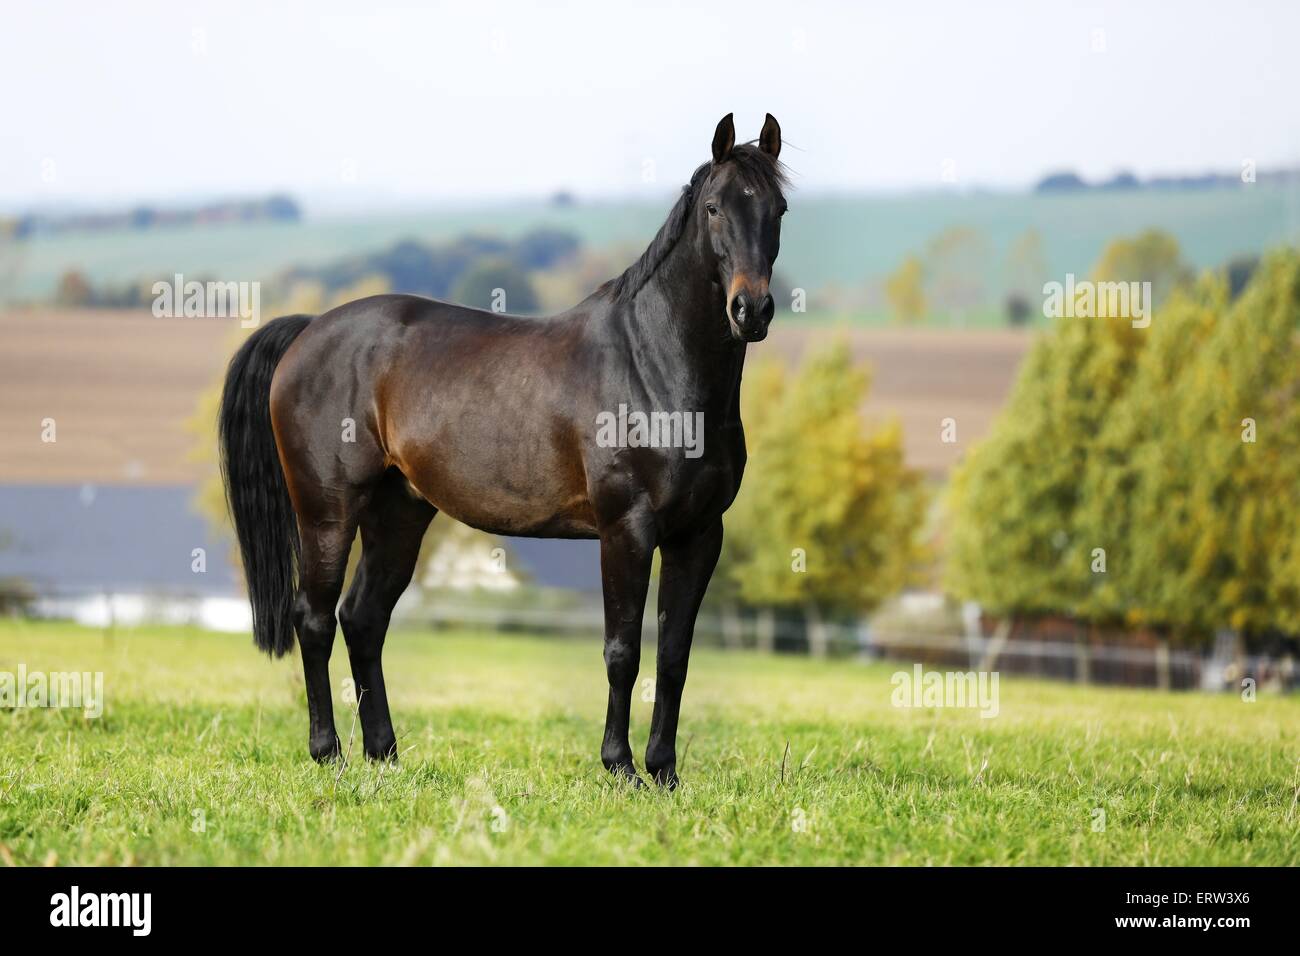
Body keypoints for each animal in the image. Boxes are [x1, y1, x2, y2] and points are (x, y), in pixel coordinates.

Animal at [219, 113, 788, 787]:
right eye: (713, 208)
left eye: (778, 209)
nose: (751, 309)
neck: (651, 365)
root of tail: (309, 329)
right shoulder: (626, 528)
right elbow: (623, 651)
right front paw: (620, 766)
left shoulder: (699, 534)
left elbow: (673, 656)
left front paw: (664, 771)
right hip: (326, 510)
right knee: (313, 616)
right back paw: (328, 751)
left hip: (399, 512)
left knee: (362, 618)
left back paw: (384, 754)